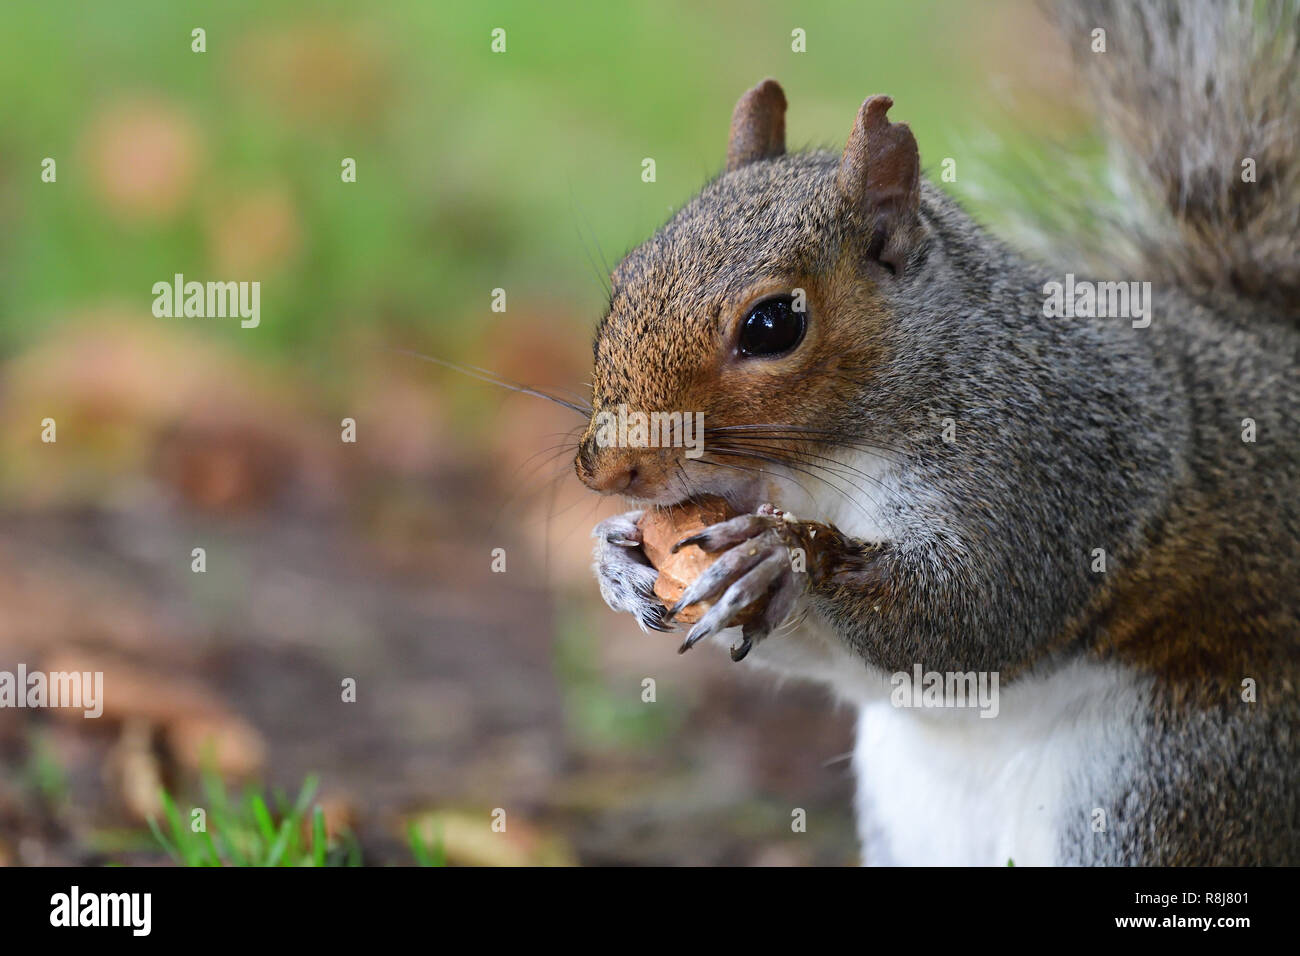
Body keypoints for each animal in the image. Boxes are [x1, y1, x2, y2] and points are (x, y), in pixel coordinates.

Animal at [576, 0, 1299, 865]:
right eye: (624, 277)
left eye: (774, 323)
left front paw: (785, 554)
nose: (605, 470)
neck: (819, 467)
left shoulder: (1051, 461)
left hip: (1163, 788)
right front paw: (615, 557)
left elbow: (979, 611)